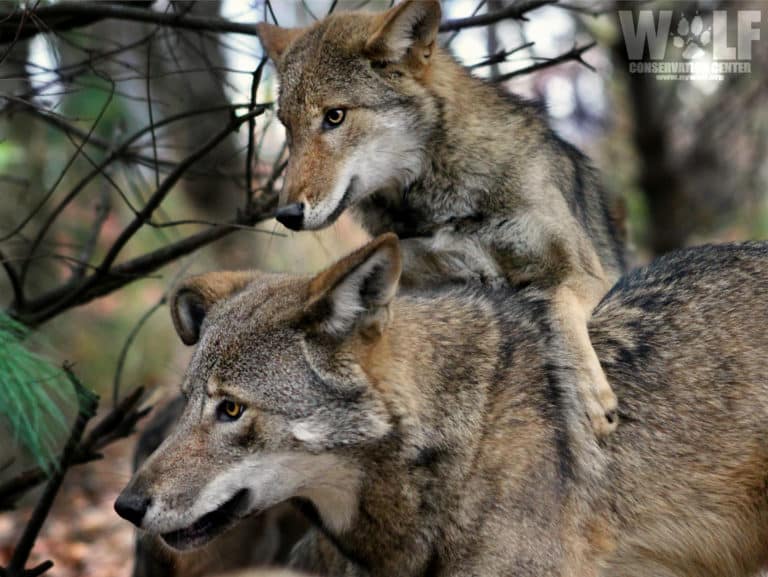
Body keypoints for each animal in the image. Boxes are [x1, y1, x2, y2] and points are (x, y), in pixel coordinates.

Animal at [256, 0, 626, 436]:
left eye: (334, 116)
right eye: (286, 126)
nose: (285, 214)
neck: (441, 203)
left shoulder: (588, 272)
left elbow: (557, 300)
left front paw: (586, 396)